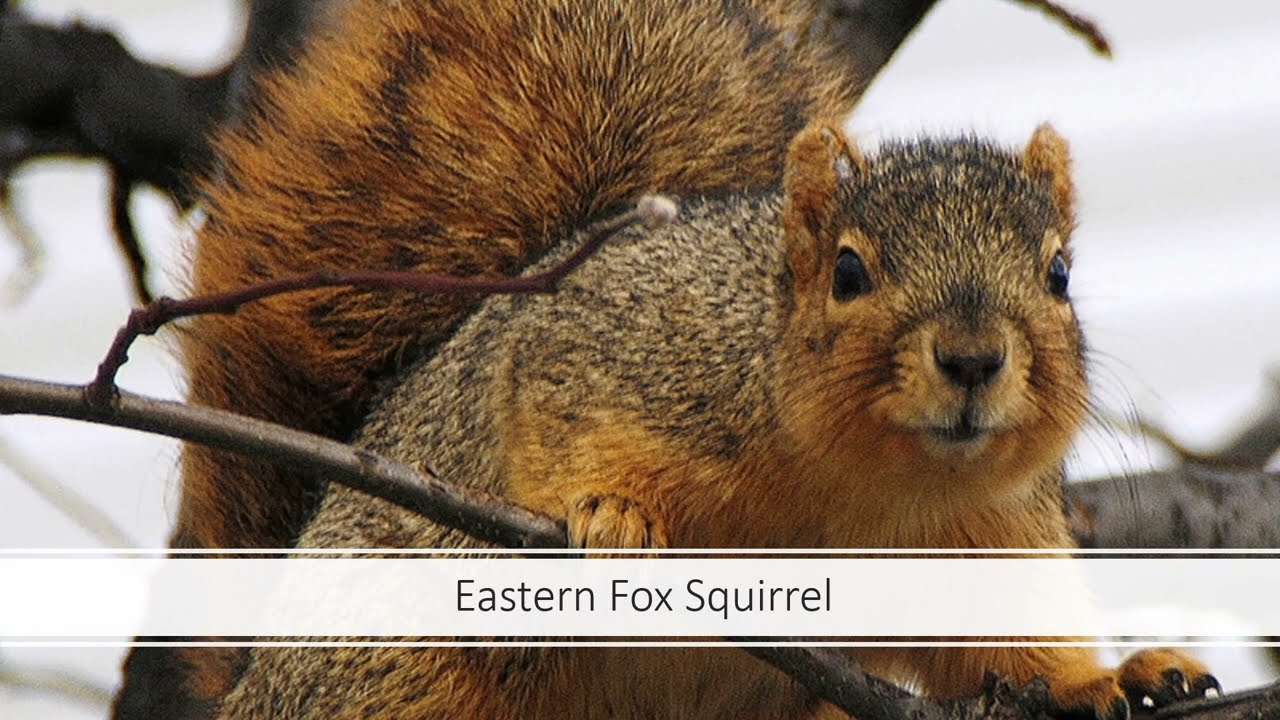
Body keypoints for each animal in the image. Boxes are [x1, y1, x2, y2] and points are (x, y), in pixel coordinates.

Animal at [208, 122, 1218, 719]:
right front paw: (615, 516)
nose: (972, 359)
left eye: (1059, 274)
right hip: (381, 658)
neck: (856, 481)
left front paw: (1109, 679)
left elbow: (1006, 641)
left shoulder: (991, 530)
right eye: (848, 271)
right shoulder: (606, 343)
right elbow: (540, 405)